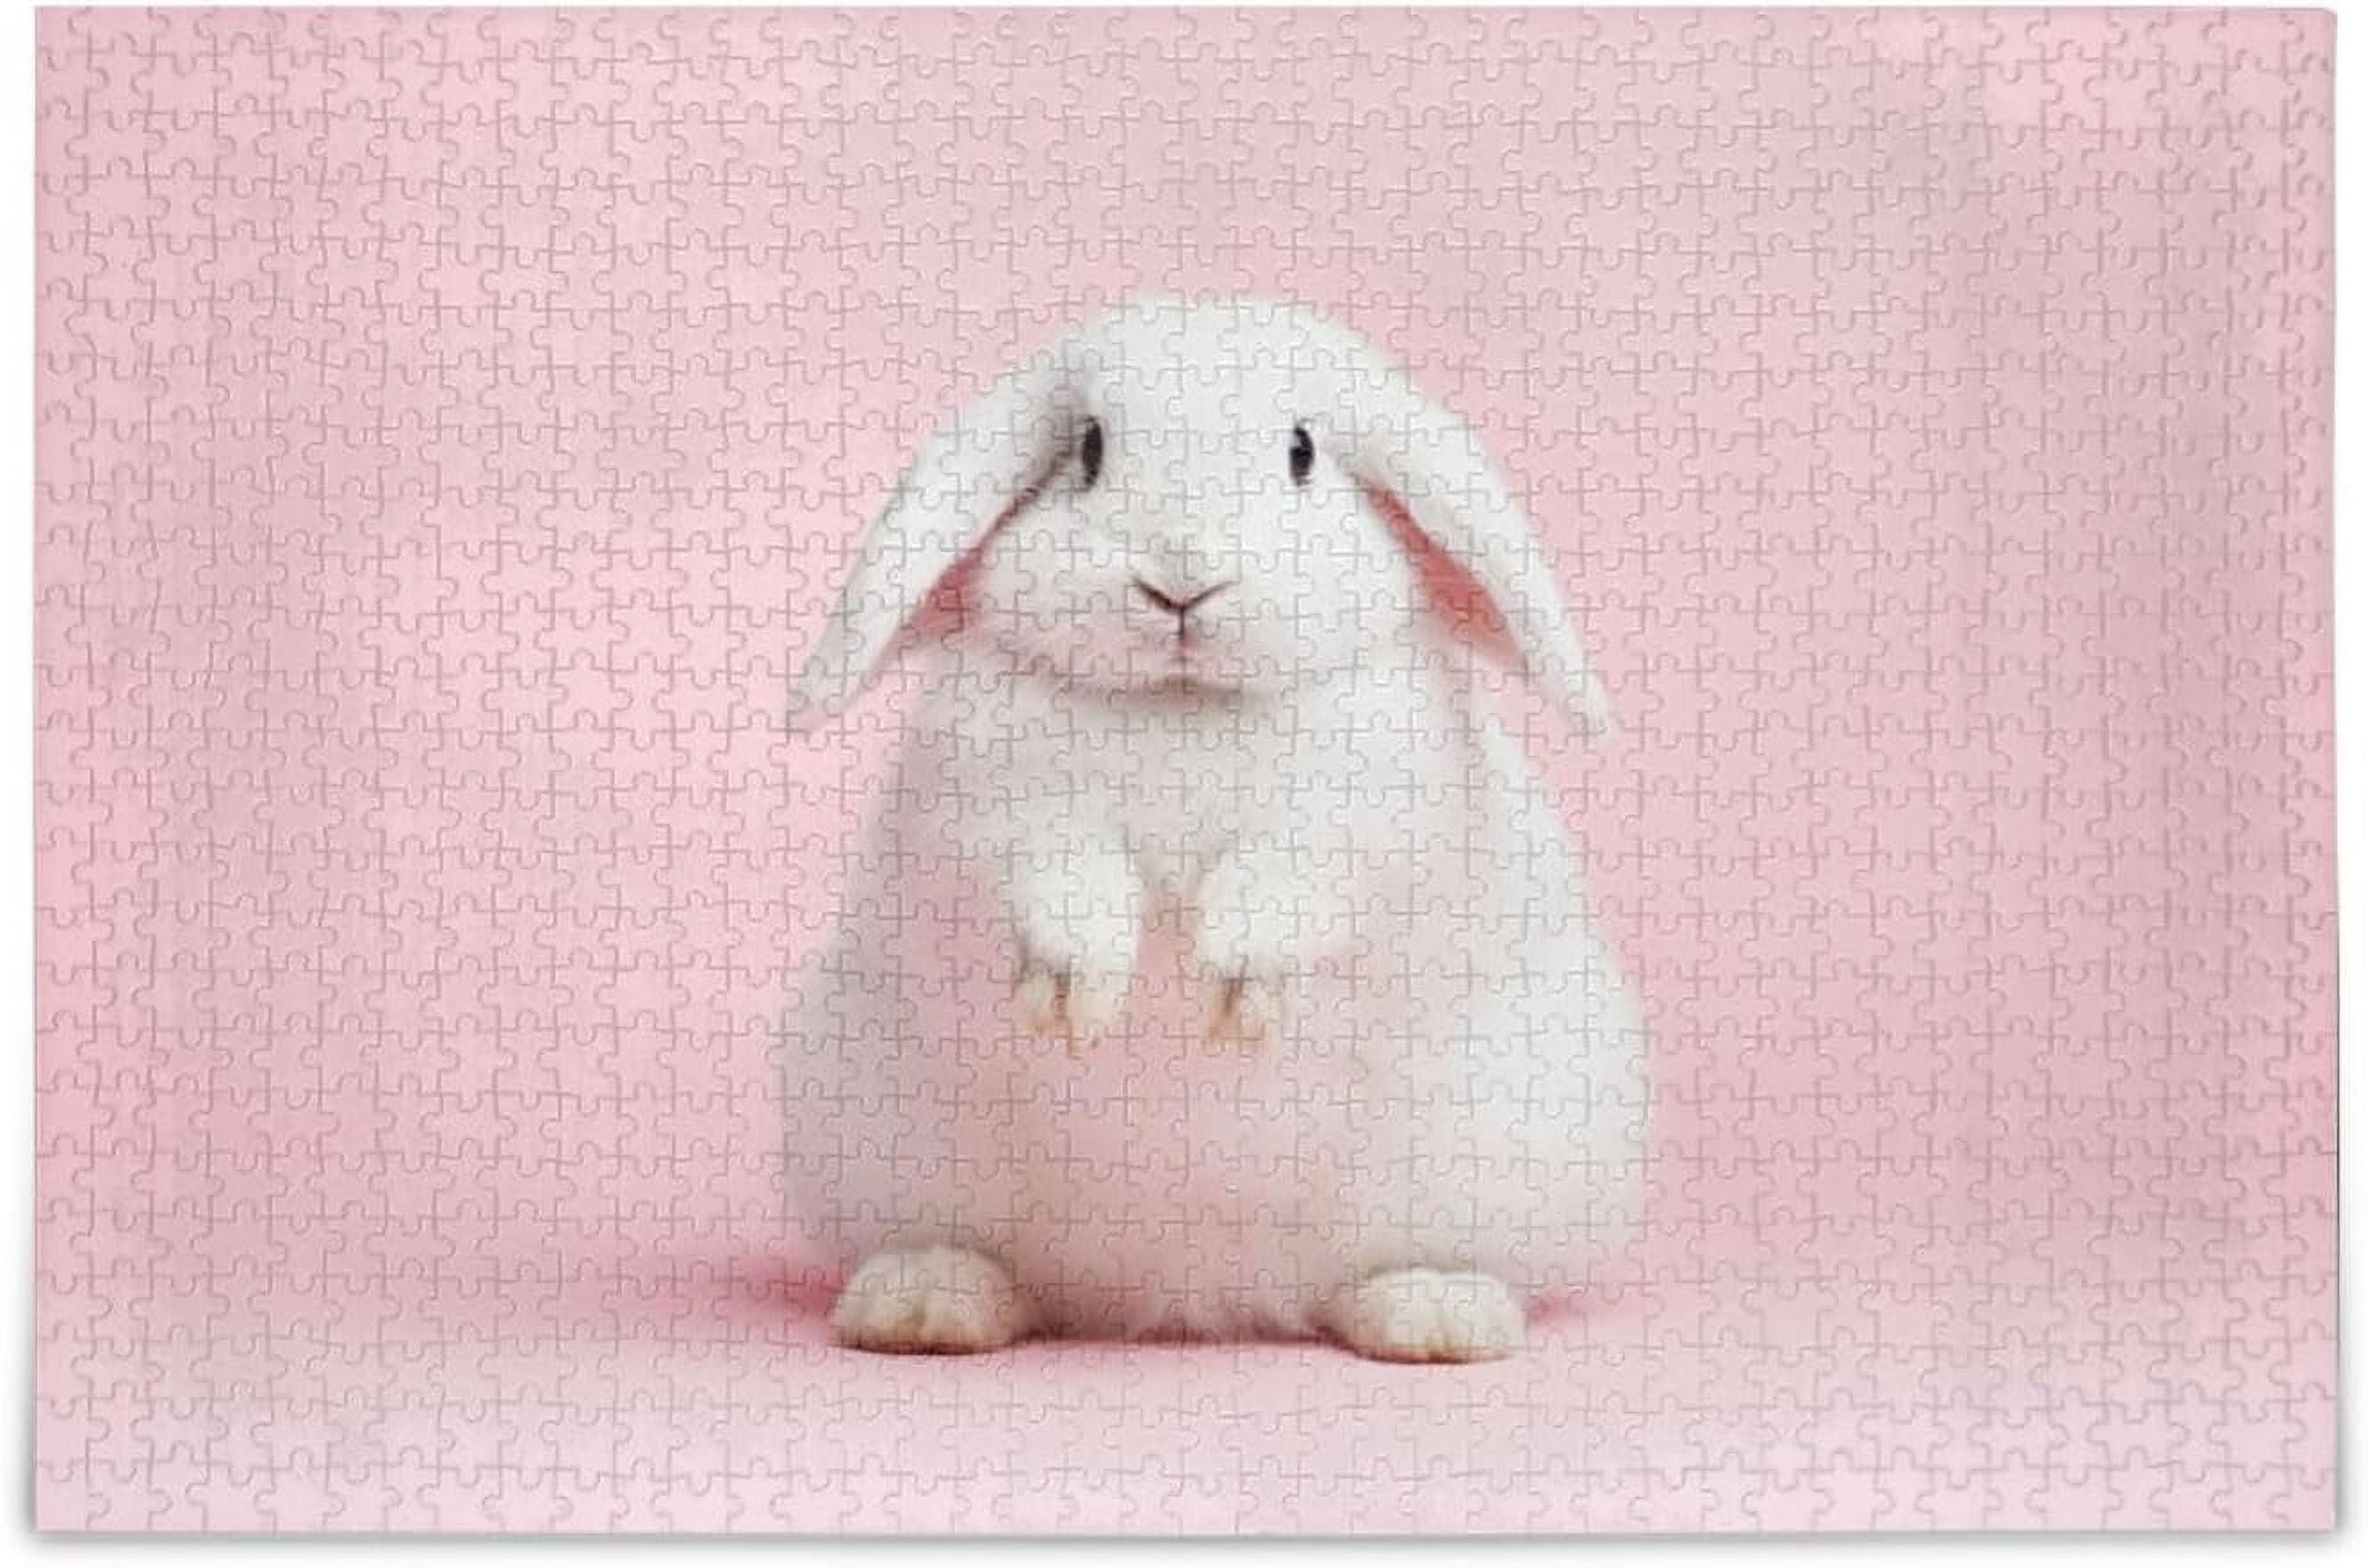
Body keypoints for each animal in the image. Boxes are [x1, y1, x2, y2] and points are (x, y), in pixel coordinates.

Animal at [782, 297, 1644, 1362]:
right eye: (1090, 449)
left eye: (1301, 451)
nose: (1181, 578)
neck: (1185, 704)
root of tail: (1197, 1291)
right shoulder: (999, 797)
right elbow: (1059, 876)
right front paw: (1073, 990)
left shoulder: (1366, 810)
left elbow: (1289, 881)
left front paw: (1234, 980)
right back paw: (922, 1304)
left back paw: (1438, 1314)